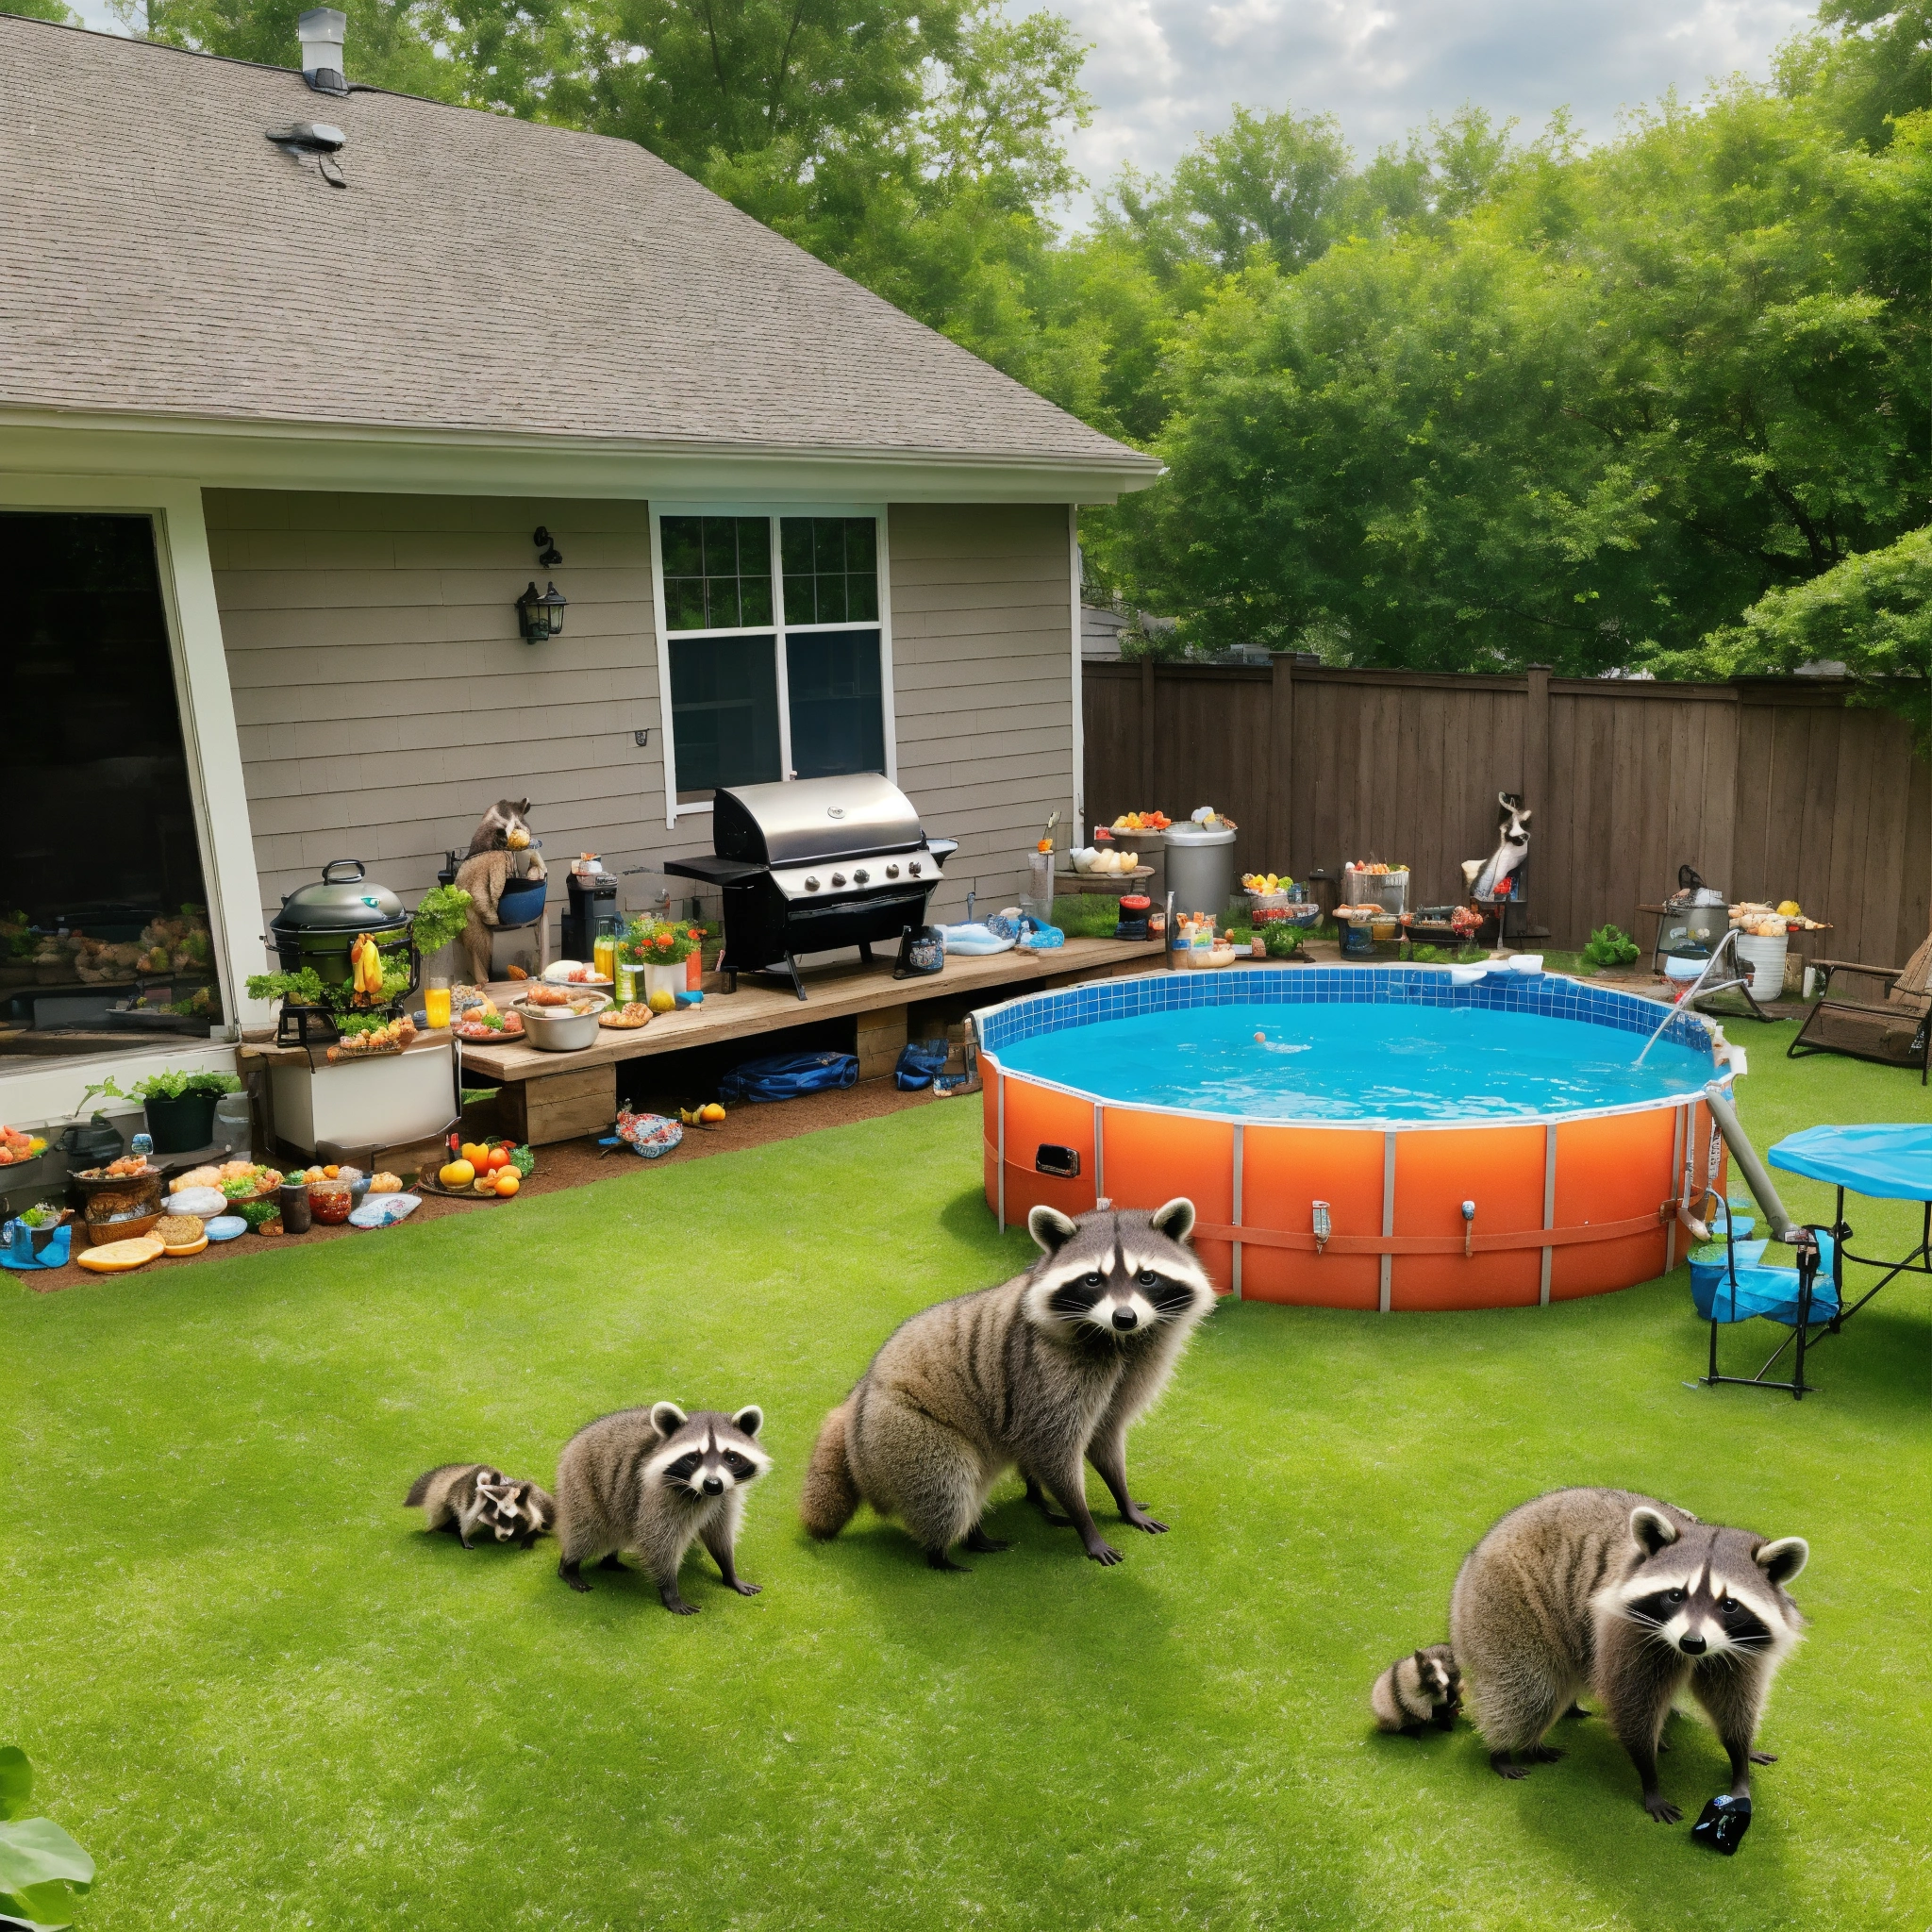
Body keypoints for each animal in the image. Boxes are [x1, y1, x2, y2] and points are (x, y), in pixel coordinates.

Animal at [405, 1464, 556, 1549]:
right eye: (496, 1519)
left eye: (515, 1519)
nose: (504, 1535)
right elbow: (469, 1520)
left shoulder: (540, 1501)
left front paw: (531, 1534)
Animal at [555, 1402, 771, 1614]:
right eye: (693, 1458)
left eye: (731, 1458)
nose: (712, 1484)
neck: (701, 1493)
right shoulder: (656, 1494)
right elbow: (658, 1541)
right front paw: (670, 1590)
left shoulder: (725, 1495)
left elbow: (719, 1533)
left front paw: (728, 1570)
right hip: (582, 1483)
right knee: (586, 1530)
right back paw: (569, 1565)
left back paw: (609, 1560)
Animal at [799, 1199, 1216, 1570]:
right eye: (1092, 1280)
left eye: (1147, 1277)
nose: (1124, 1317)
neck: (1116, 1339)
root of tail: (856, 1400)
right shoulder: (1044, 1372)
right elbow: (1052, 1447)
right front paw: (1086, 1524)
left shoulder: (1135, 1366)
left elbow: (1105, 1434)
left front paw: (1122, 1499)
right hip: (906, 1432)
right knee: (948, 1487)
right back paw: (945, 1549)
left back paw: (1009, 1514)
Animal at [1449, 1487, 1808, 1820]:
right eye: (1676, 1595)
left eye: (1729, 1604)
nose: (1692, 1643)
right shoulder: (1624, 1629)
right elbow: (1633, 1705)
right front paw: (1650, 1775)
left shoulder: (1740, 1648)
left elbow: (1733, 1701)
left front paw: (1740, 1755)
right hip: (1505, 1601)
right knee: (1529, 1693)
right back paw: (1506, 1749)